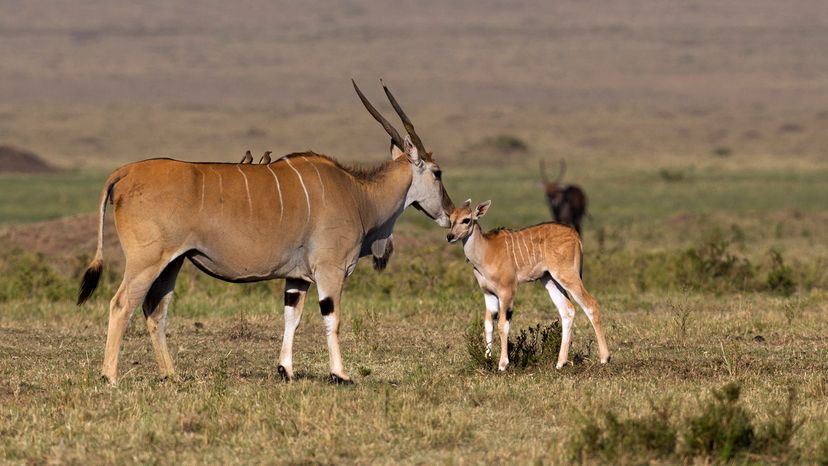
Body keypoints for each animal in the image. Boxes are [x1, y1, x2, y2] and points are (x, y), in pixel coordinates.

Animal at [75, 81, 456, 386]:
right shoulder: (330, 271)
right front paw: (340, 374)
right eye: (437, 172)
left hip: (172, 264)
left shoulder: (297, 278)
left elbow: (292, 317)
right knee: (121, 304)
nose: (451, 215)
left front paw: (285, 370)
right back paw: (110, 376)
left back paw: (172, 375)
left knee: (155, 311)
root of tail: (125, 173)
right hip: (146, 261)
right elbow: (331, 318)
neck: (358, 194)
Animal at [446, 199, 608, 372]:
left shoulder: (507, 290)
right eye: (451, 219)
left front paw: (502, 364)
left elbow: (503, 325)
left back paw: (604, 358)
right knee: (568, 310)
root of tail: (574, 234)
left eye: (466, 220)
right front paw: (487, 359)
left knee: (591, 305)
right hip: (549, 280)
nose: (450, 236)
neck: (486, 250)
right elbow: (489, 325)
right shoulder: (488, 293)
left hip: (568, 276)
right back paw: (560, 363)